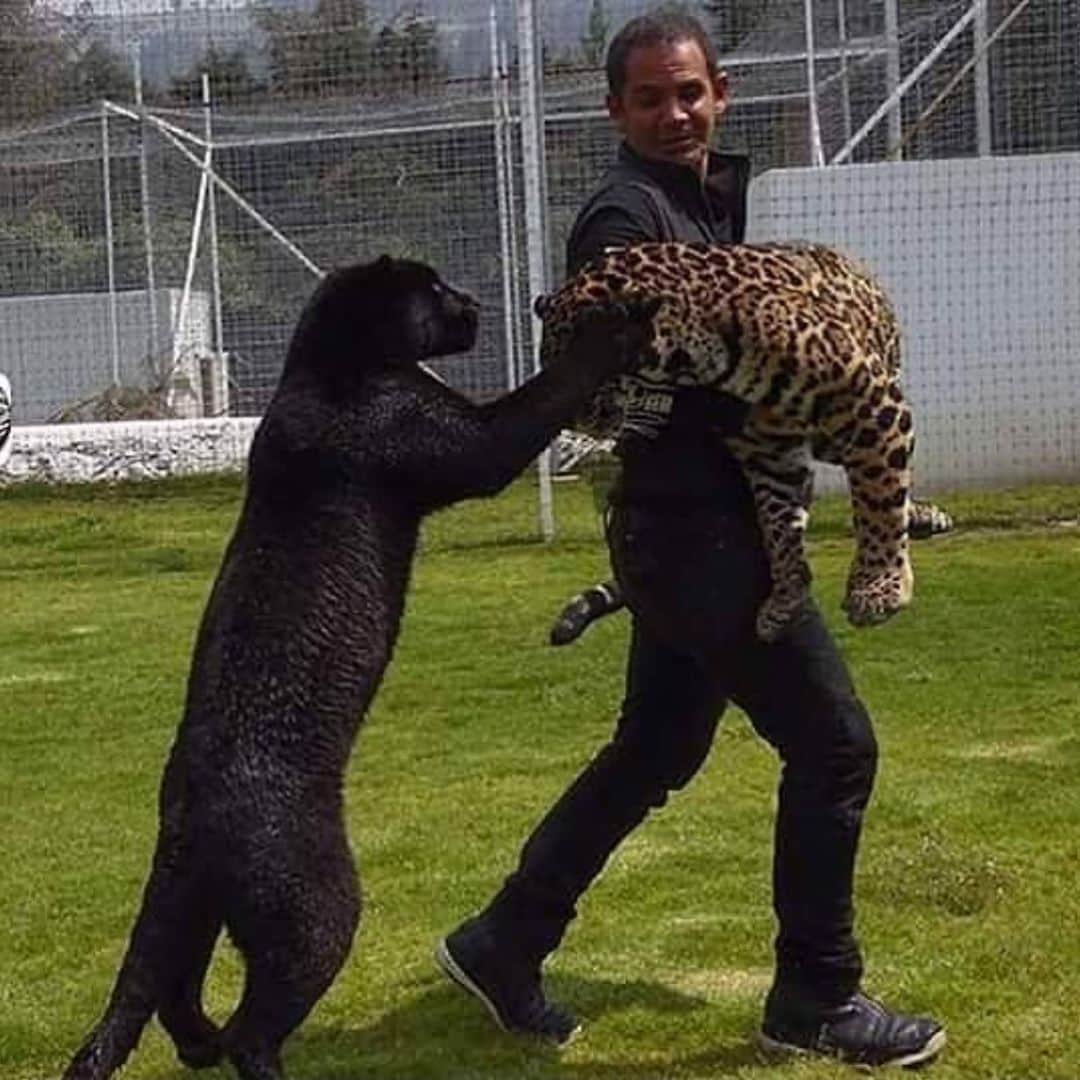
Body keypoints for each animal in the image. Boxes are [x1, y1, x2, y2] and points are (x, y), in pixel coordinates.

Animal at [536, 240, 919, 642]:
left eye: (589, 365)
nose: (574, 418)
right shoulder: (770, 451)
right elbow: (778, 528)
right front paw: (785, 598)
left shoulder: (871, 404)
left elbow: (878, 497)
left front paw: (878, 586)